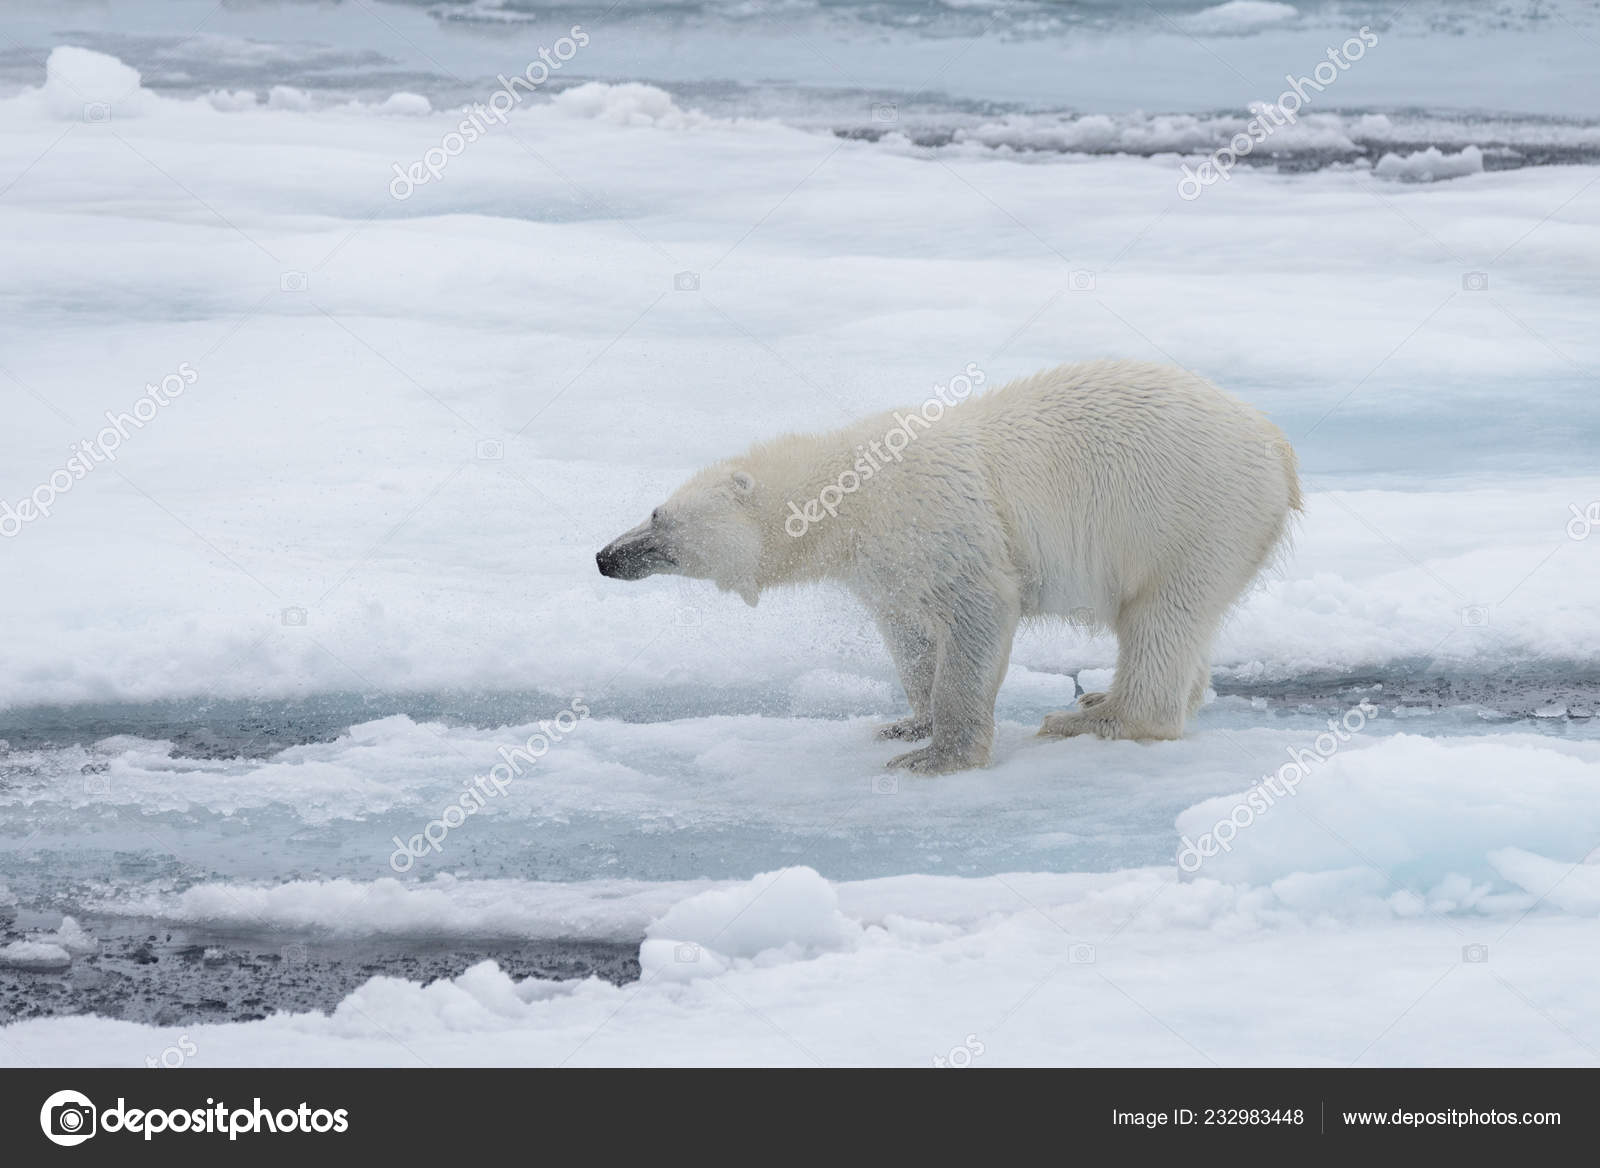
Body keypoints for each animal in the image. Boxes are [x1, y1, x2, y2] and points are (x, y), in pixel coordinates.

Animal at [597, 359, 1301, 774]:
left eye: (661, 523)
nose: (606, 557)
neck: (853, 488)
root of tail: (1279, 446)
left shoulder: (936, 517)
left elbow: (979, 610)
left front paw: (938, 755)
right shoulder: (882, 563)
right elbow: (907, 630)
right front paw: (907, 722)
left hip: (1185, 513)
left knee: (1162, 615)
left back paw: (1094, 717)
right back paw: (1110, 695)